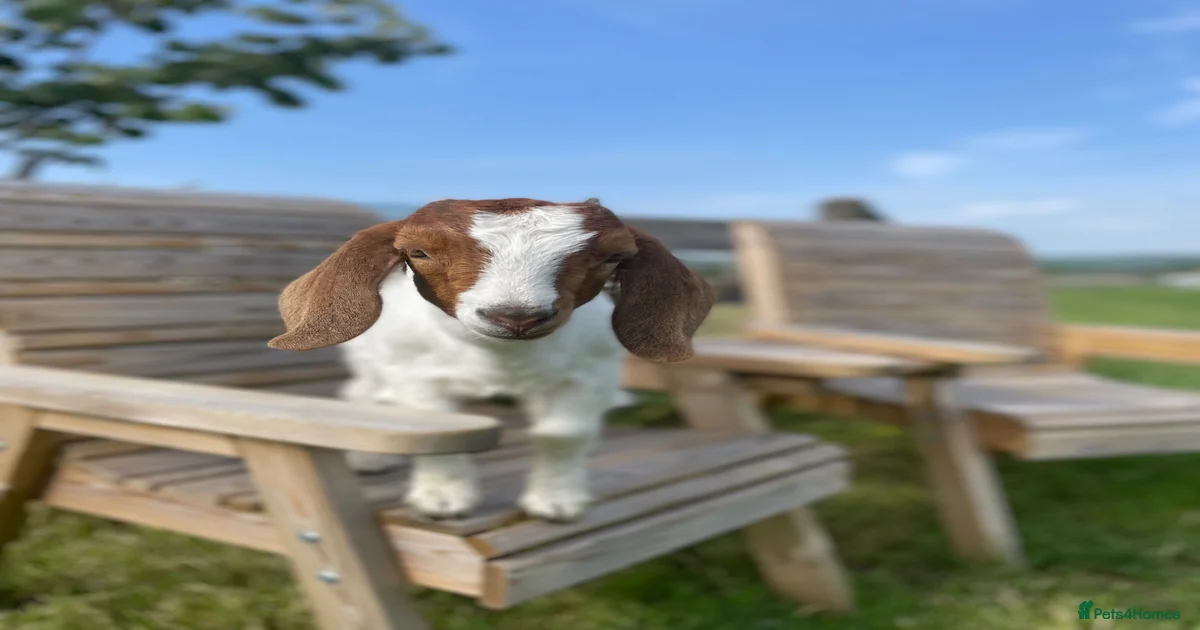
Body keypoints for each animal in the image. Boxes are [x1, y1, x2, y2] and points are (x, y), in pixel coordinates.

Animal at [269, 198, 715, 521]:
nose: (516, 316)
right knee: (361, 392)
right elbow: (437, 431)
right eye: (419, 252)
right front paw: (443, 500)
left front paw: (557, 502)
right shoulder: (417, 375)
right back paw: (368, 459)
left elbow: (563, 435)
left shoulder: (589, 375)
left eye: (612, 258)